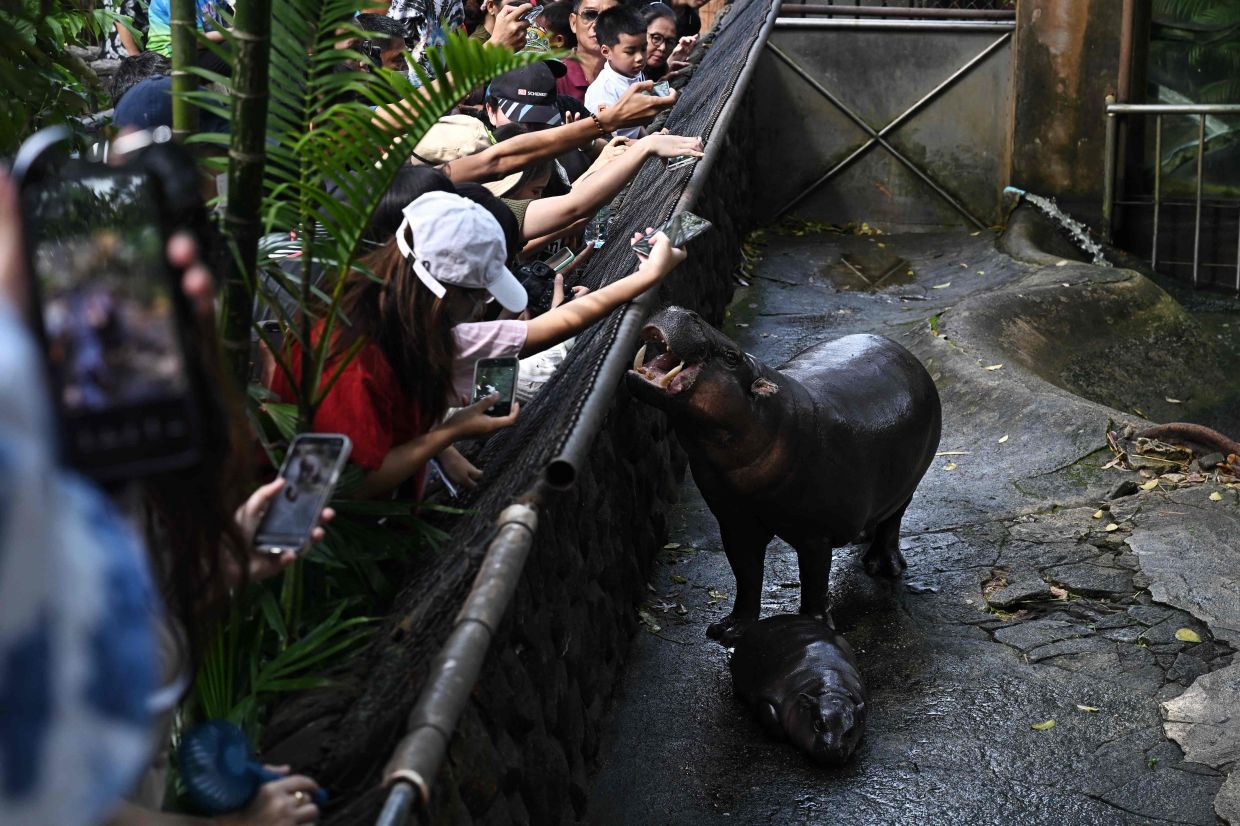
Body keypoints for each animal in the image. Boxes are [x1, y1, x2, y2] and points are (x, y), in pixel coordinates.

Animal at [626, 306, 941, 644]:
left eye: (732, 356)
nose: (681, 310)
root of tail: (905, 352)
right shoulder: (736, 523)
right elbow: (746, 577)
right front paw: (728, 630)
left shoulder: (814, 534)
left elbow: (814, 582)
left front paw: (814, 627)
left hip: (909, 482)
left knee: (892, 521)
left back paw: (883, 566)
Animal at [730, 614, 867, 765]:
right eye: (818, 723)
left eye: (851, 731)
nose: (833, 750)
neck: (831, 690)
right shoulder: (769, 695)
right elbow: (770, 714)